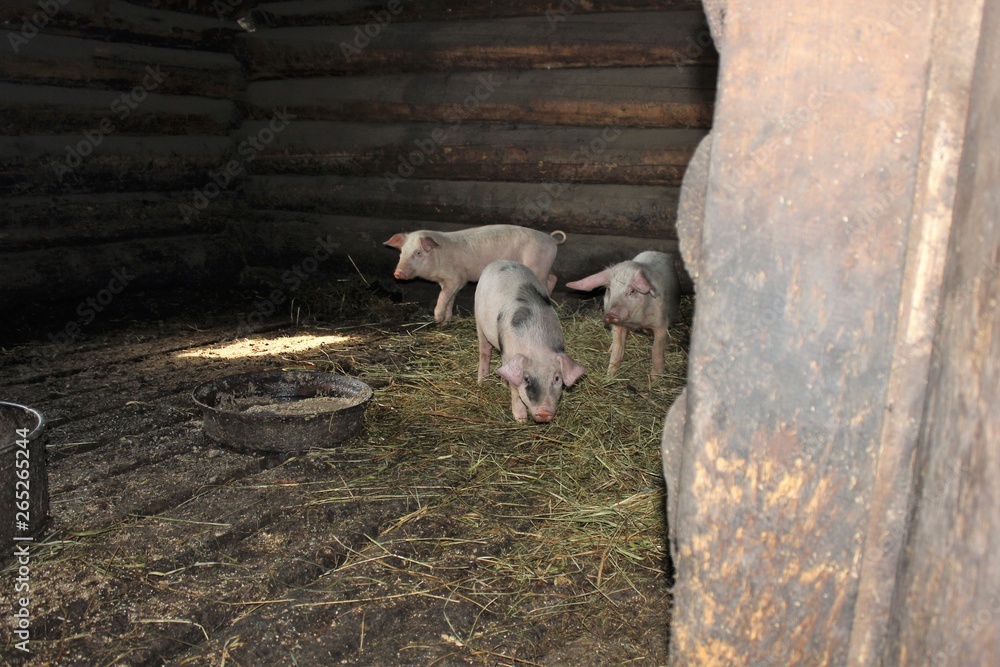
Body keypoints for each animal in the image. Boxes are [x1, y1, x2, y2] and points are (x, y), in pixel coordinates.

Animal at [384, 225, 567, 325]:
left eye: (418, 253)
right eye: (402, 252)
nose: (398, 273)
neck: (438, 257)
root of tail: (552, 240)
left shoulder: (455, 278)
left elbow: (443, 297)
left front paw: (437, 319)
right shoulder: (453, 282)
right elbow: (449, 299)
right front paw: (445, 322)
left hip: (537, 264)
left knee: (547, 281)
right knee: (553, 278)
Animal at [475, 260, 586, 423]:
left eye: (557, 378)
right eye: (526, 379)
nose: (544, 413)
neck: (537, 344)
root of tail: (500, 261)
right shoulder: (508, 352)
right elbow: (515, 389)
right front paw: (521, 419)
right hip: (478, 318)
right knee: (484, 351)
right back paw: (482, 382)